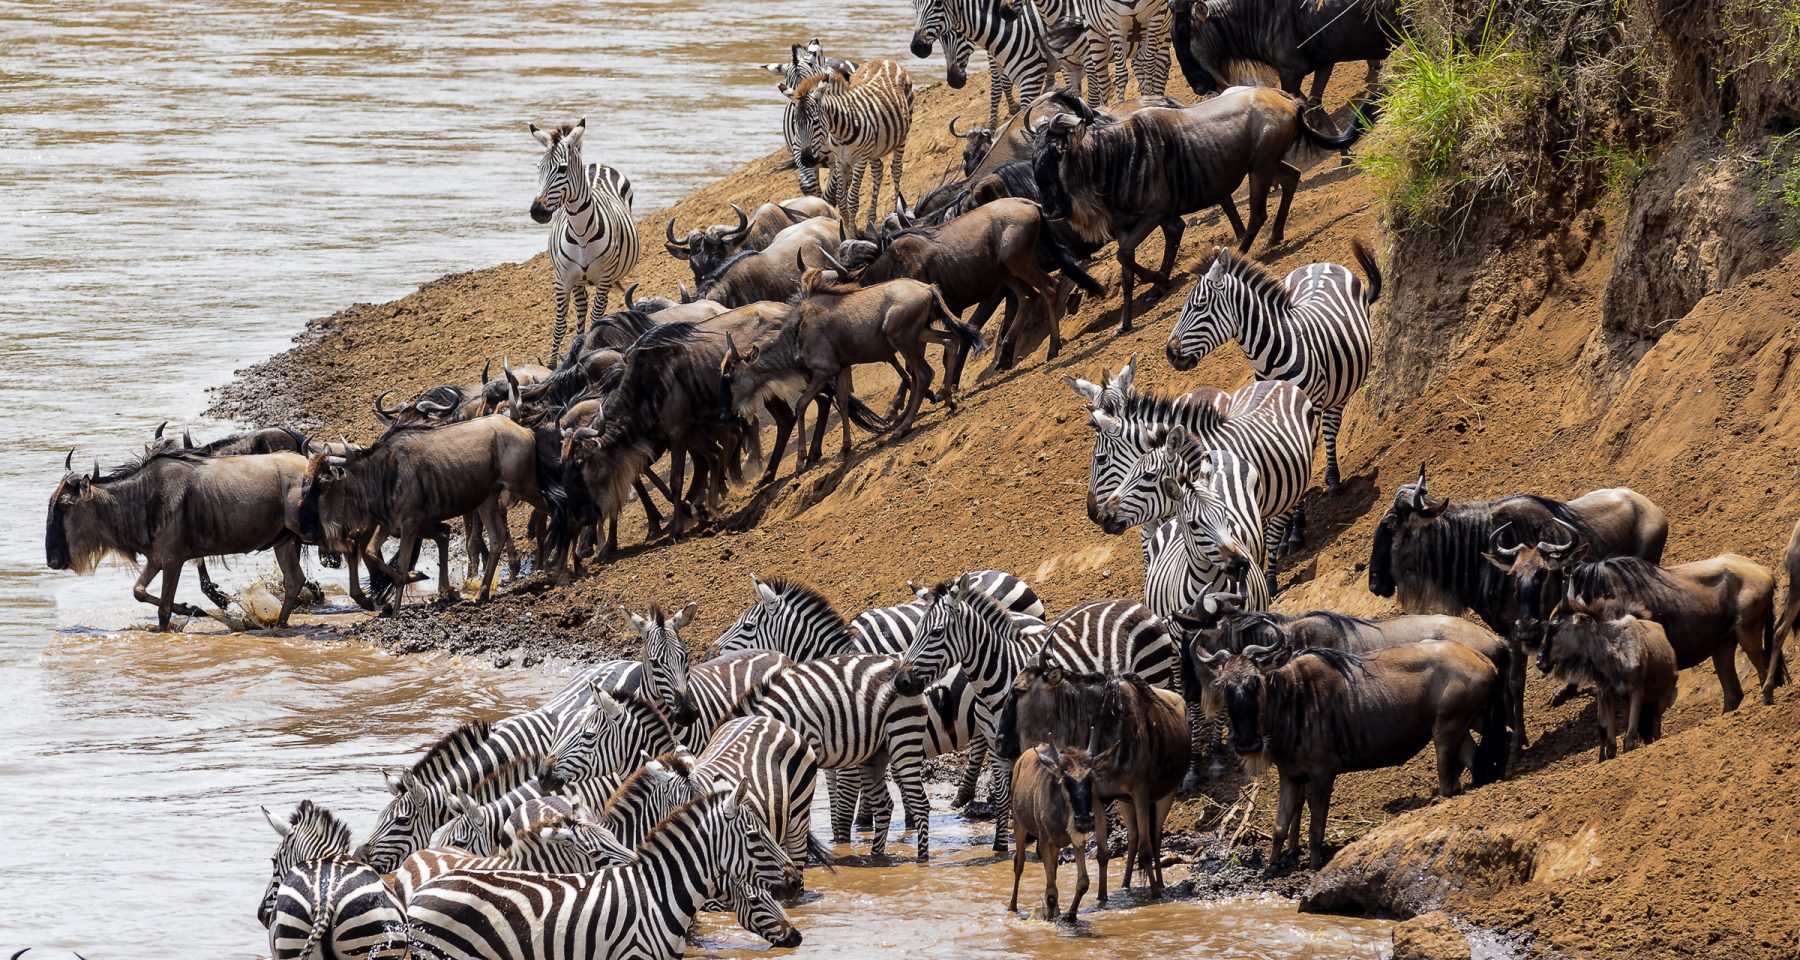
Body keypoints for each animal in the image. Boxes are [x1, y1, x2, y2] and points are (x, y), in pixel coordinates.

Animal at [528, 118, 640, 359]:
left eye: (562, 169)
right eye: (539, 168)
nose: (537, 212)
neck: (581, 233)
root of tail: (597, 165)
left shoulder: (604, 278)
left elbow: (596, 319)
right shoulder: (563, 278)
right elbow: (559, 325)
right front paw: (552, 363)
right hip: (578, 279)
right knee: (581, 308)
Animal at [787, 58, 913, 233]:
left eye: (815, 122)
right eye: (795, 123)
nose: (806, 160)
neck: (839, 132)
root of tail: (886, 60)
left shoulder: (859, 160)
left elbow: (852, 199)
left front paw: (852, 231)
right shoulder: (840, 160)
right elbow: (841, 199)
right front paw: (845, 229)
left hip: (901, 135)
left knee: (896, 169)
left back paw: (897, 213)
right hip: (874, 148)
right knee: (878, 171)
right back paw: (871, 220)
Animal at [911, 0, 1054, 129]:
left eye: (960, 34)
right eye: (940, 39)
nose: (954, 81)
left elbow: (1006, 81)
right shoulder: (993, 54)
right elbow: (997, 88)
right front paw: (994, 124)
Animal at [1032, 0, 1173, 105]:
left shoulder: (1156, 16)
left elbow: (1150, 66)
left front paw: (1150, 100)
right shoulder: (1114, 25)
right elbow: (1121, 74)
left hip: (1164, 30)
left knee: (1159, 68)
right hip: (1096, 35)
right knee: (1106, 81)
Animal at [1166, 241, 1380, 491]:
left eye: (1199, 306)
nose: (1170, 353)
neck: (1271, 353)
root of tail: (1323, 264)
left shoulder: (1309, 404)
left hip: (1337, 390)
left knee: (1331, 427)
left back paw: (1333, 477)